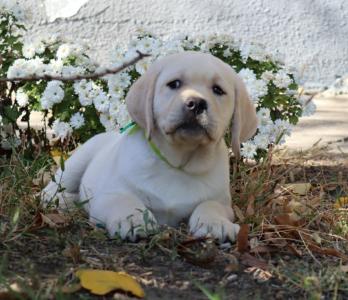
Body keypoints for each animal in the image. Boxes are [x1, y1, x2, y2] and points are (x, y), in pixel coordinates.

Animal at [41, 51, 258, 243]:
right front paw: (133, 220)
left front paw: (216, 224)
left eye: (218, 90)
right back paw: (67, 201)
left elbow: (211, 205)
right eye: (174, 84)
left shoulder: (224, 203)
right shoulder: (107, 195)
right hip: (78, 160)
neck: (177, 163)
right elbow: (124, 200)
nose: (196, 103)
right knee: (50, 190)